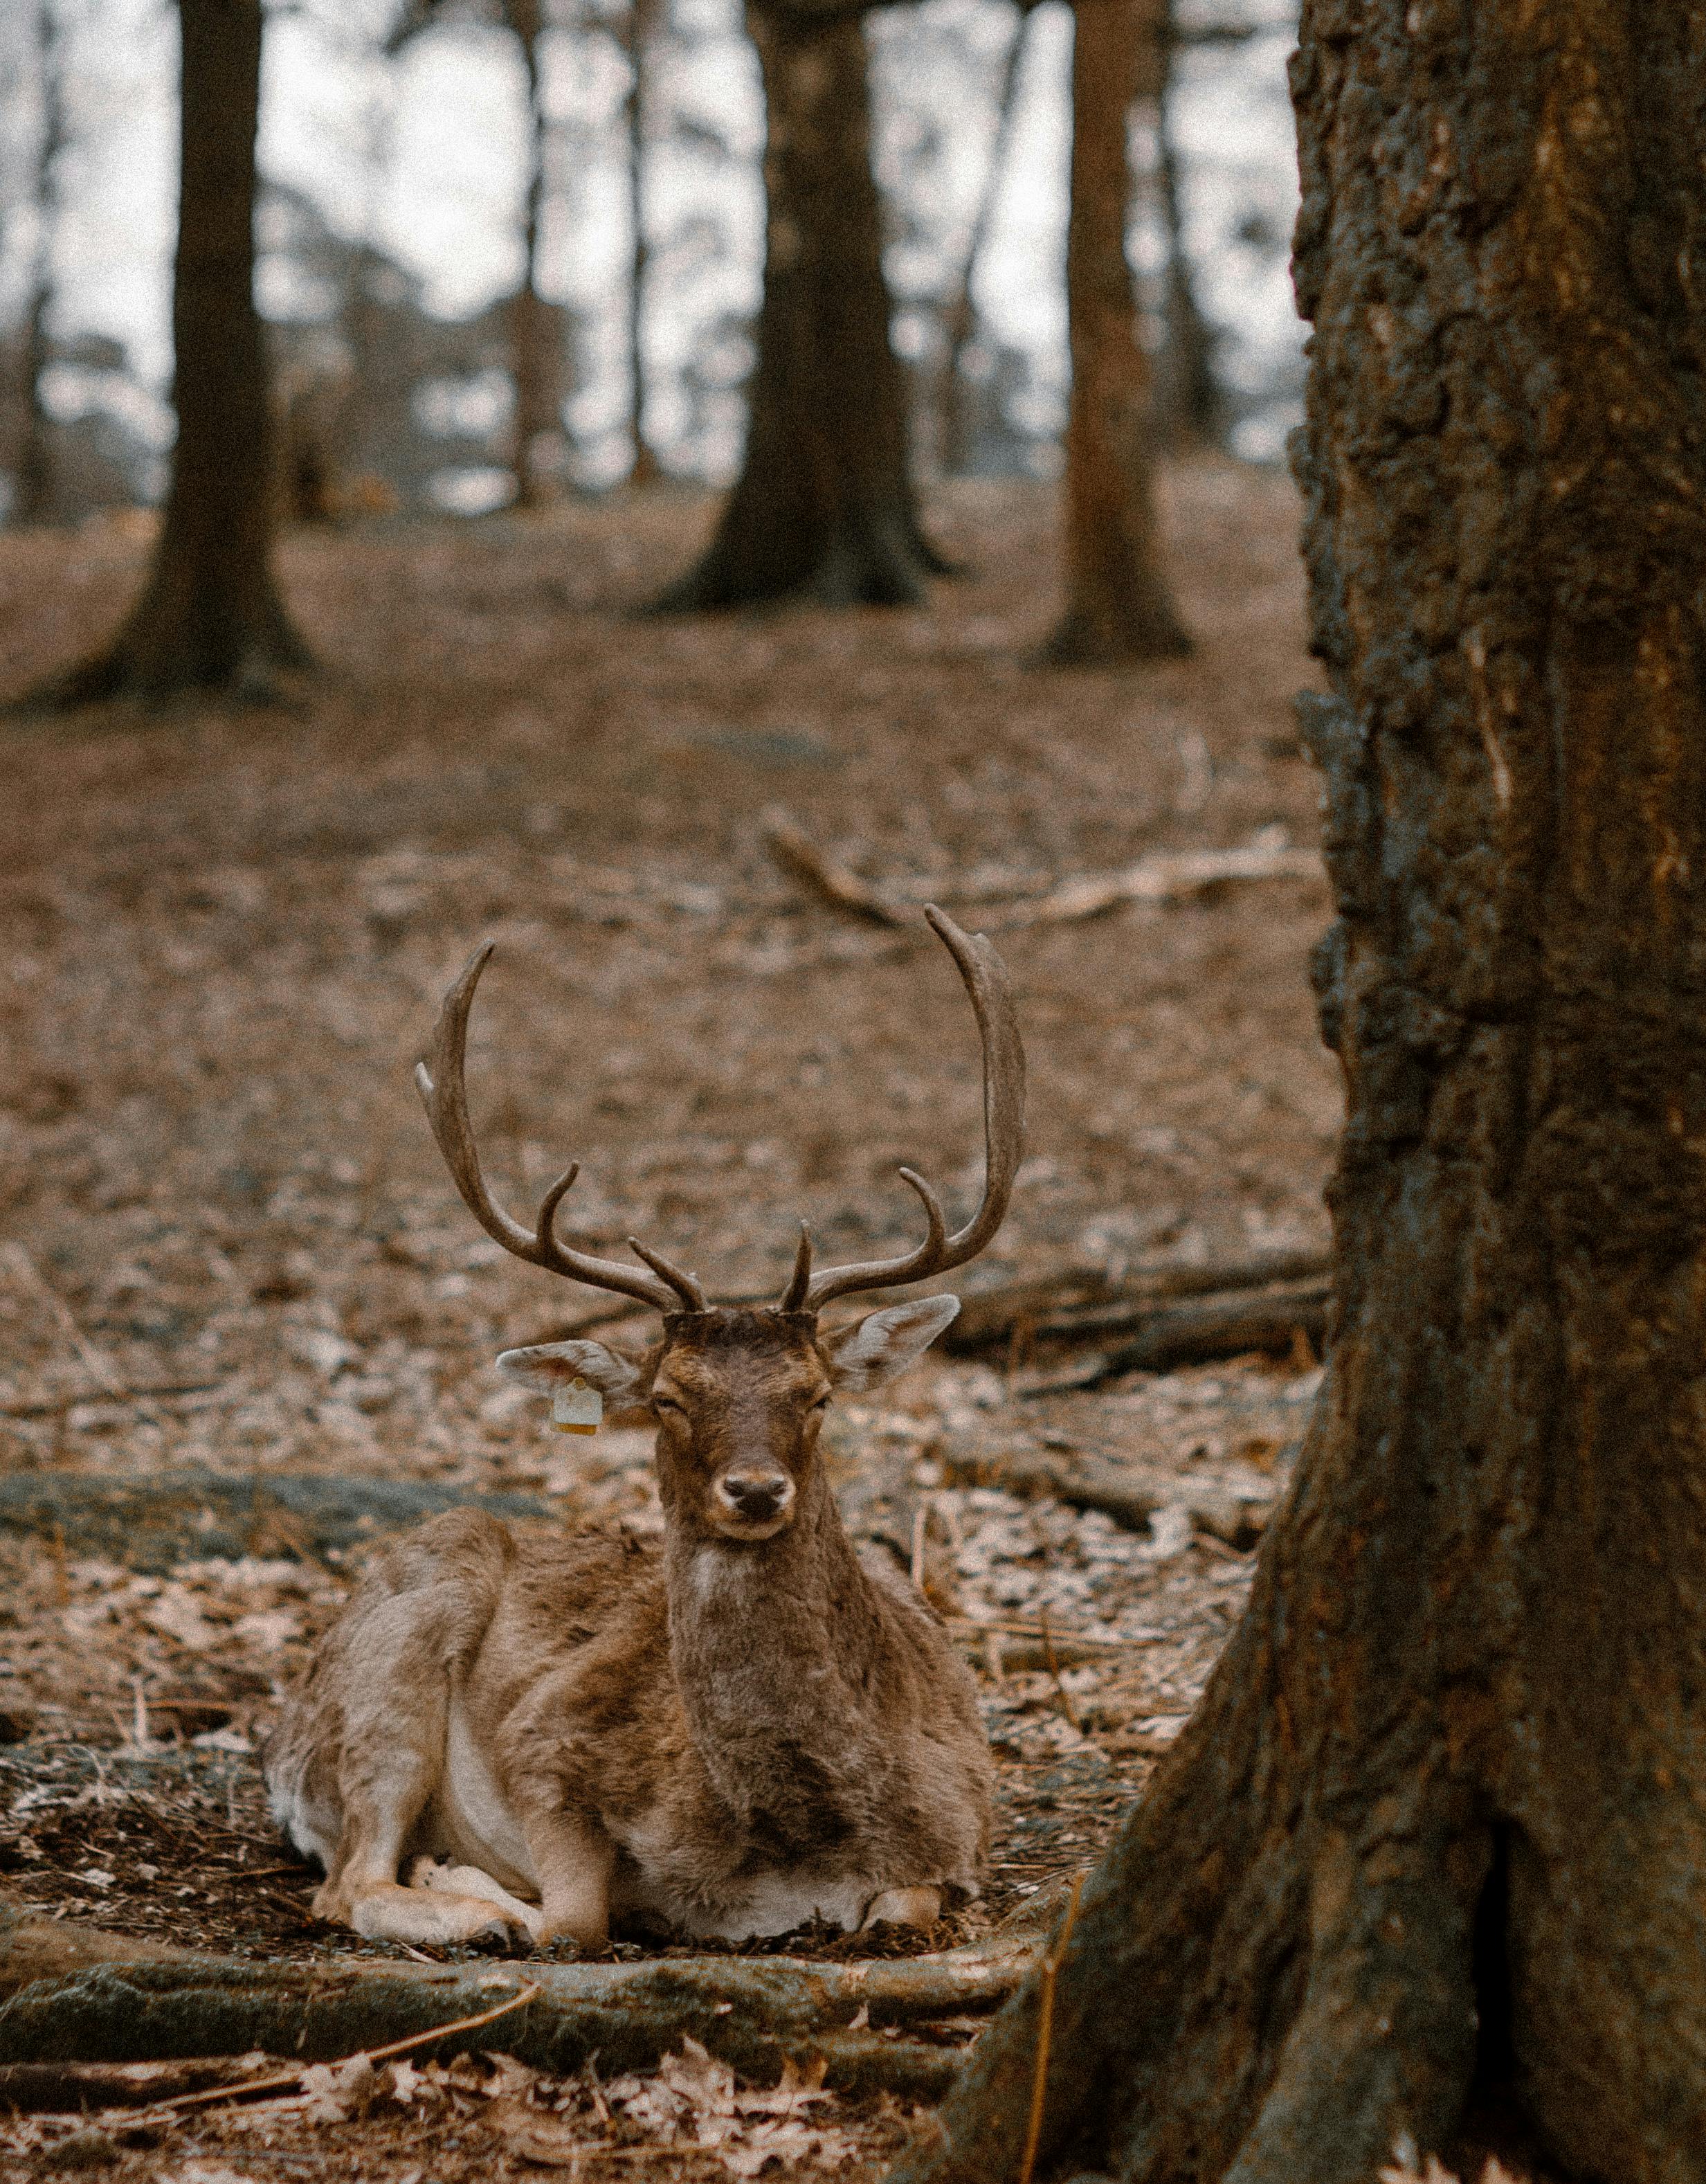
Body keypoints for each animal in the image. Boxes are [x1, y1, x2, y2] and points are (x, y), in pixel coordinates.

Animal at [262, 907, 1025, 1954]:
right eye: (668, 1395)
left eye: (817, 1393)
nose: (755, 1488)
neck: (788, 1841)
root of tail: (281, 1746)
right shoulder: (546, 1741)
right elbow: (572, 1918)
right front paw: (480, 1882)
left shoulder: (966, 1826)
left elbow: (895, 1911)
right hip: (392, 1654)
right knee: (346, 1882)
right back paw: (460, 1895)